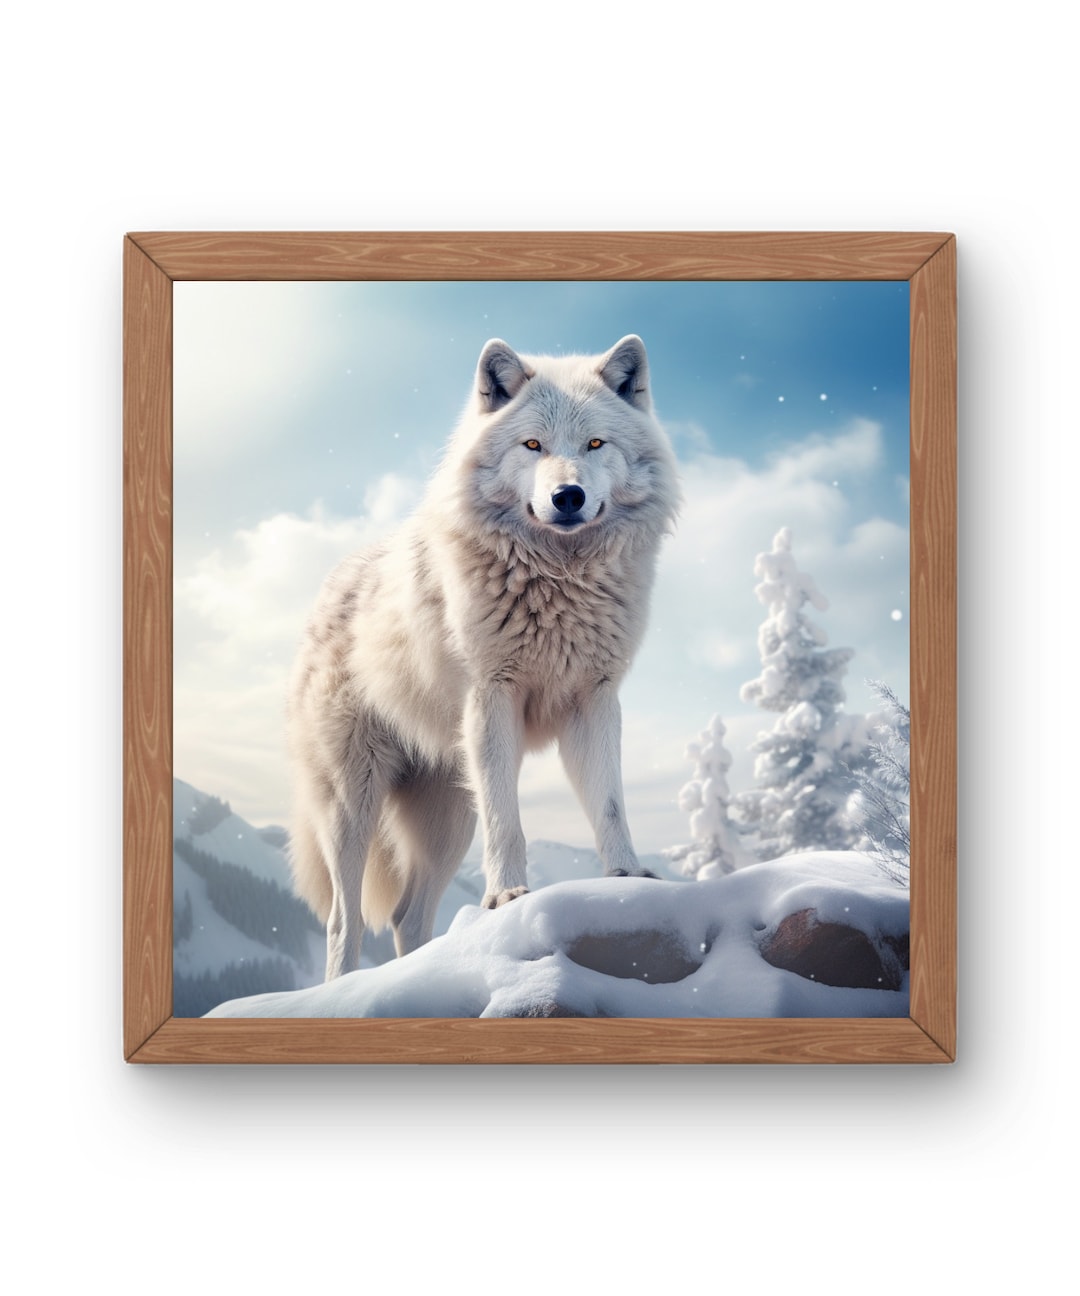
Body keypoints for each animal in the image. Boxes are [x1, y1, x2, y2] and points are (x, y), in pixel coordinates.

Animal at [288, 334, 681, 980]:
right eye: (533, 445)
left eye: (596, 444)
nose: (567, 495)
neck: (558, 580)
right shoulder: (492, 700)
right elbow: (508, 822)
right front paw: (507, 899)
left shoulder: (594, 701)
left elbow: (611, 805)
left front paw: (629, 877)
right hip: (353, 803)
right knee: (344, 921)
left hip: (447, 816)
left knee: (407, 916)